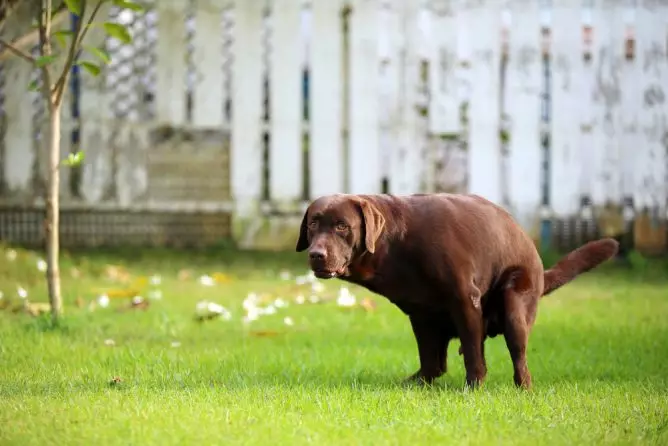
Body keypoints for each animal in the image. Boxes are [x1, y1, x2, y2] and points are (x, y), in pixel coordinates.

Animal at [298, 193, 620, 388]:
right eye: (313, 223)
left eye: (342, 226)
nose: (316, 254)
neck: (396, 245)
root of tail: (540, 267)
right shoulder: (421, 315)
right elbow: (432, 360)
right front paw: (417, 385)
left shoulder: (465, 300)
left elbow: (475, 358)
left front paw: (473, 388)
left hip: (515, 303)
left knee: (519, 357)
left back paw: (523, 388)